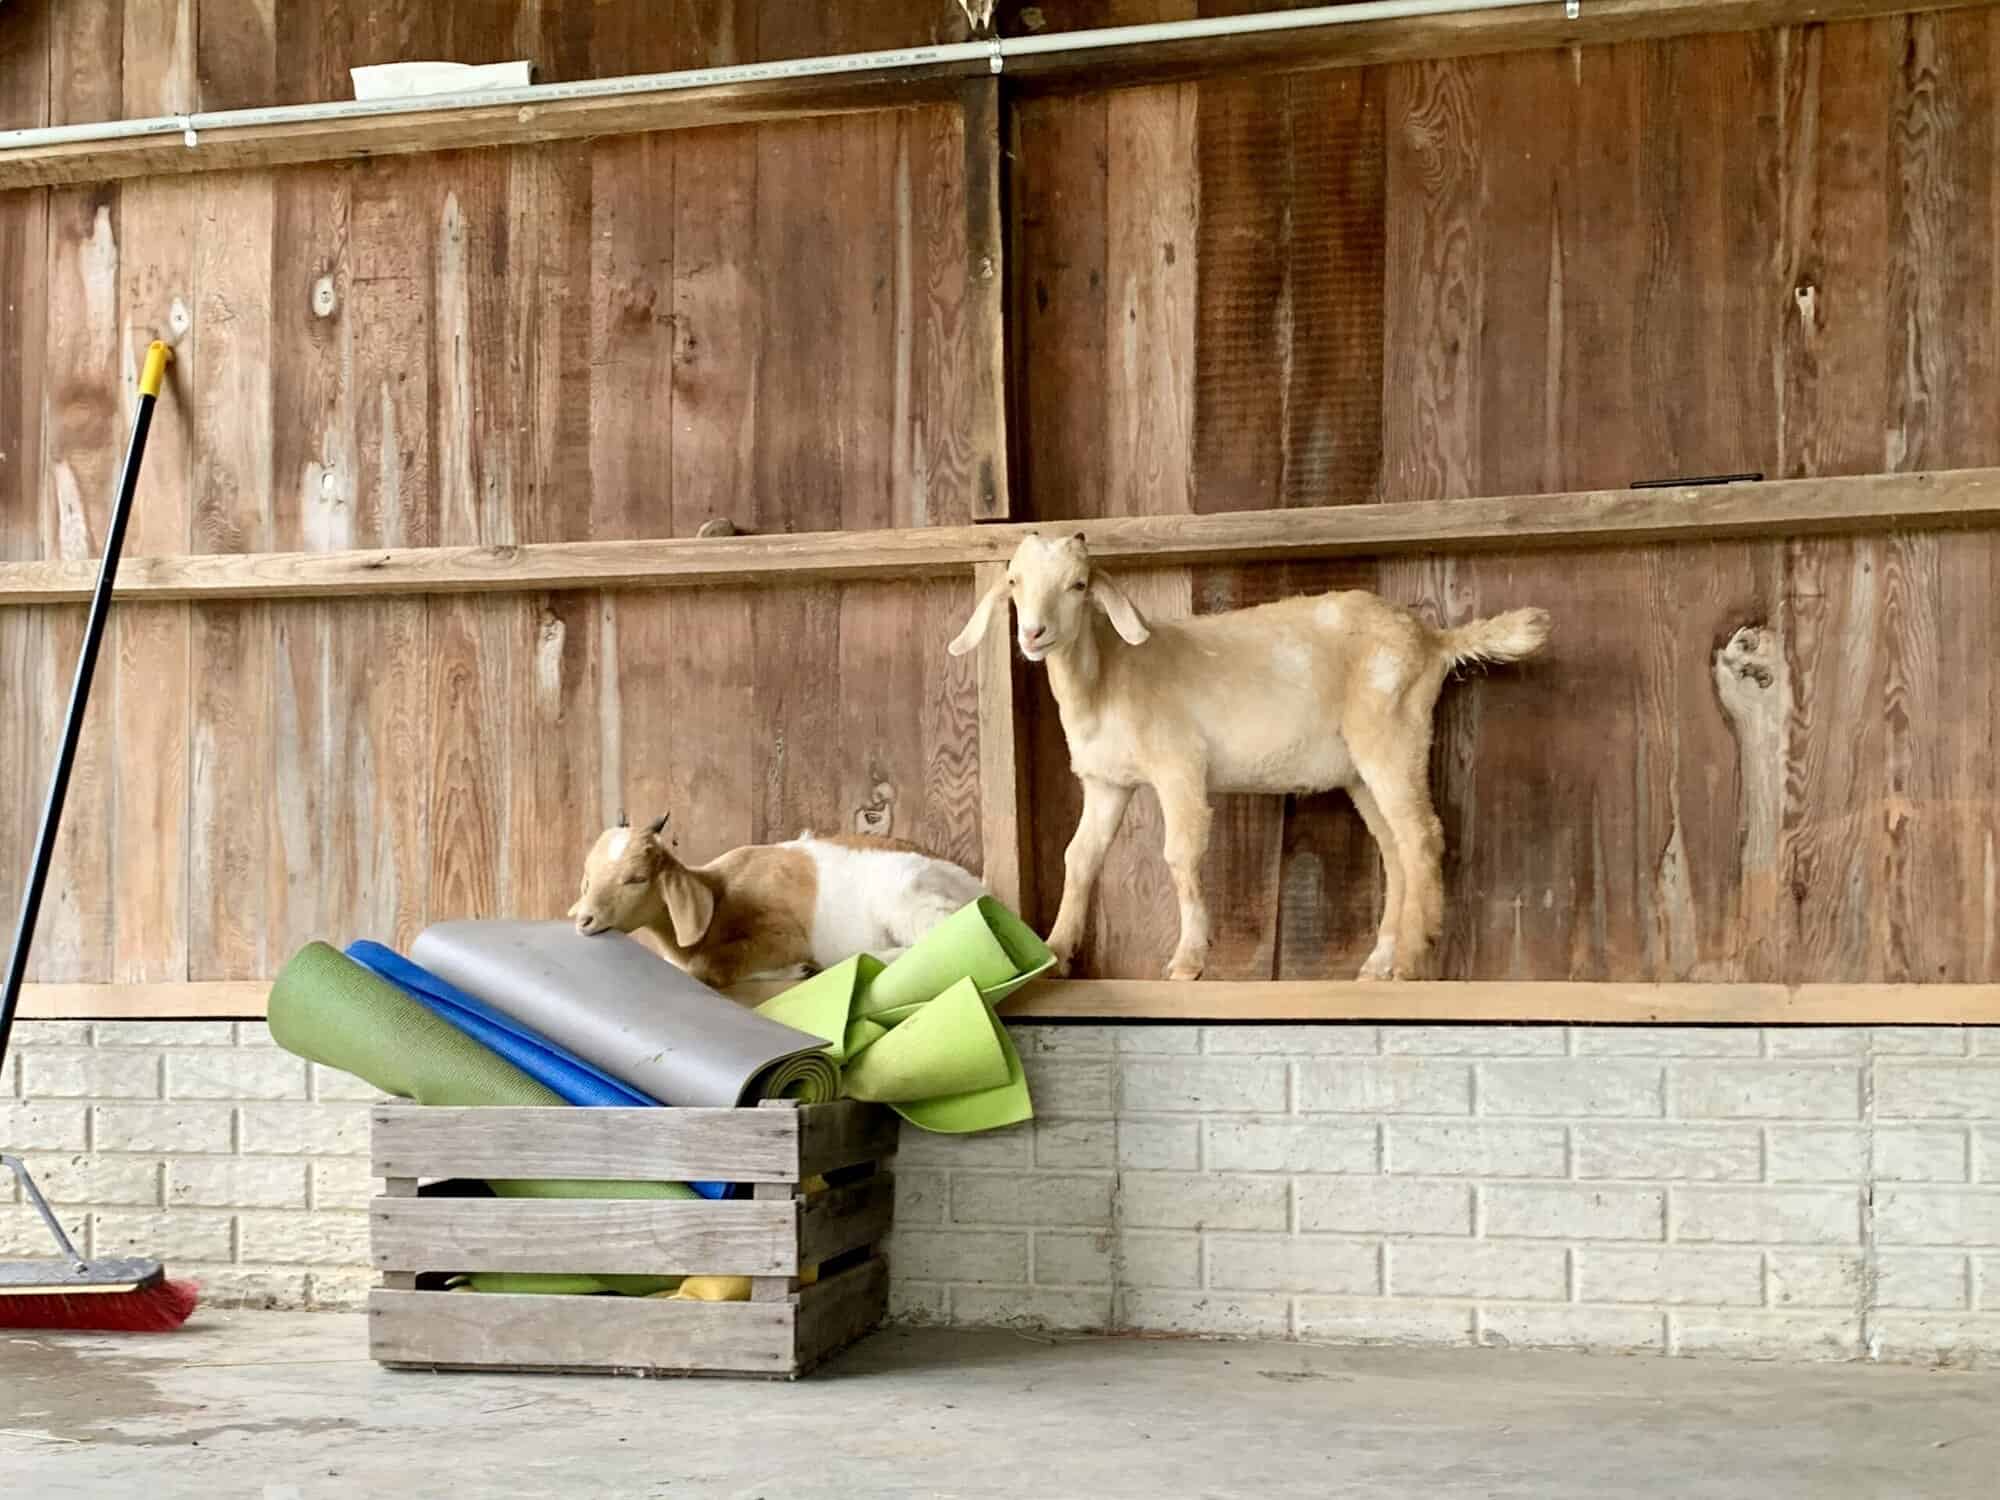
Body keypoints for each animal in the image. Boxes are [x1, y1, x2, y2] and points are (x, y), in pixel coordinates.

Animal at [567, 814, 987, 991]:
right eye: (588, 876)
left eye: (637, 878)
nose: (584, 920)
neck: (718, 893)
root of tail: (978, 890)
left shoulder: (780, 936)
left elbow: (708, 968)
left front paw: (798, 969)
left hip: (910, 903)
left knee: (932, 942)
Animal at [949, 533, 1550, 982]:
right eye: (1013, 583)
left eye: (1078, 586)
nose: (1033, 633)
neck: (1111, 677)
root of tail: (1432, 639)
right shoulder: (1106, 783)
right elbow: (1080, 857)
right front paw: (1057, 952)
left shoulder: (1178, 765)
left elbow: (1180, 855)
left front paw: (1188, 960)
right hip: (1360, 770)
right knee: (1395, 848)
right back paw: (1379, 964)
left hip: (1393, 731)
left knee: (1423, 835)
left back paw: (1410, 958)